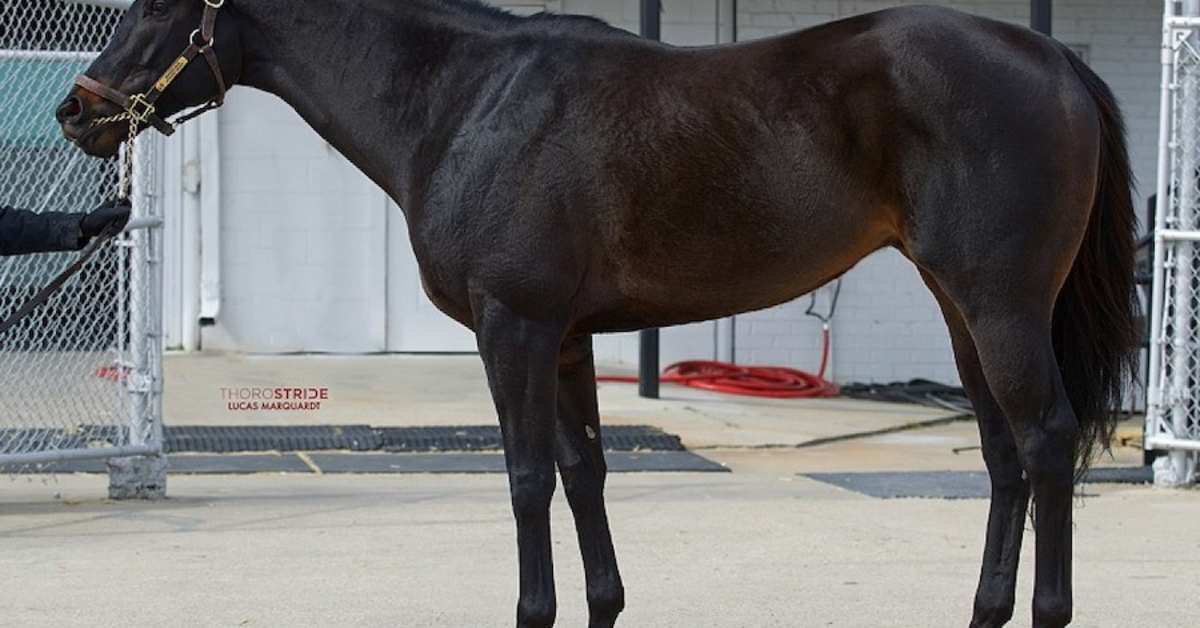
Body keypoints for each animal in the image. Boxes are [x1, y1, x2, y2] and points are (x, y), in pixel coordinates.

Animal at [57, 1, 1139, 626]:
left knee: (1045, 442)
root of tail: (1053, 60)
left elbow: (529, 479)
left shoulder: (516, 328)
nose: (77, 111)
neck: (466, 98)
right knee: (1003, 455)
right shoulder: (569, 337)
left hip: (1000, 305)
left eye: (159, 7)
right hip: (963, 309)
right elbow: (585, 476)